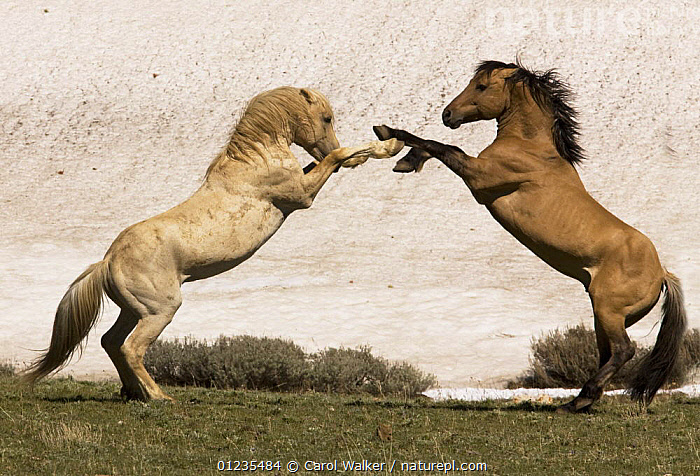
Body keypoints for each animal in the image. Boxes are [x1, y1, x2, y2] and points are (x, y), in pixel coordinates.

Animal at [22, 86, 404, 401]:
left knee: (111, 343)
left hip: (134, 310)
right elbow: (331, 159)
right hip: (159, 310)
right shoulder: (302, 196)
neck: (256, 159)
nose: (330, 141)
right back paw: (159, 397)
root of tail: (107, 261)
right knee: (131, 349)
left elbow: (322, 161)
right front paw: (385, 147)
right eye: (326, 118)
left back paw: (133, 393)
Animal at [375, 61, 687, 413]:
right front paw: (406, 160)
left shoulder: (478, 177)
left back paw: (577, 401)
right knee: (609, 353)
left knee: (623, 351)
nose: (448, 114)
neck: (533, 149)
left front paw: (388, 133)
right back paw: (581, 401)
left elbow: (447, 148)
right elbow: (442, 149)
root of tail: (662, 273)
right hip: (604, 315)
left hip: (608, 311)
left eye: (481, 86)